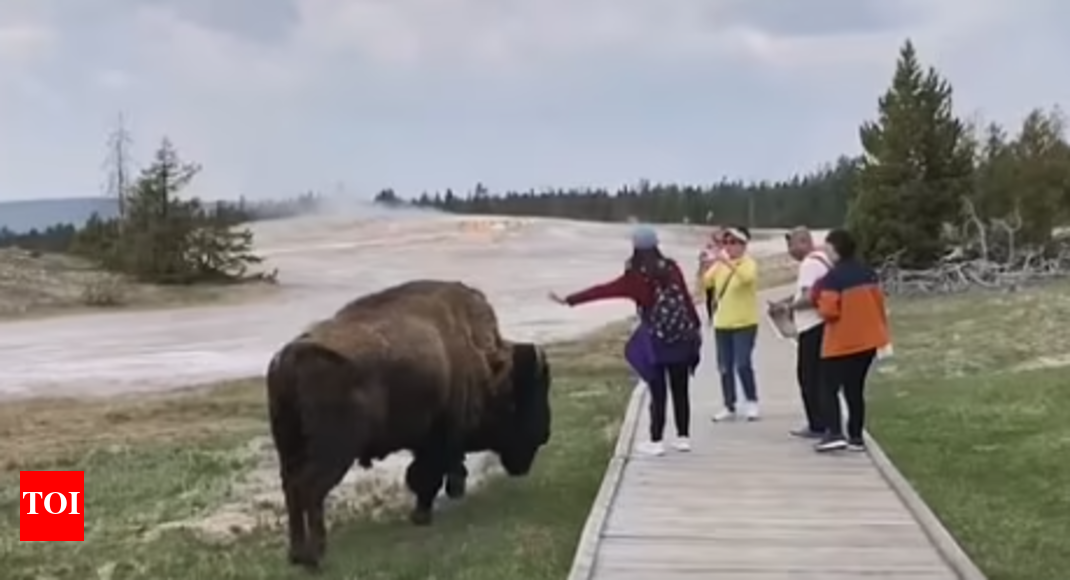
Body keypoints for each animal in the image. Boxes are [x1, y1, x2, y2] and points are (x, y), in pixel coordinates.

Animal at [266, 280, 552, 569]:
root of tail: (289, 357)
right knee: (310, 489)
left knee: (291, 488)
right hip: (334, 450)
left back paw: (297, 554)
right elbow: (426, 476)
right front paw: (421, 516)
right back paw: (315, 555)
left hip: (289, 447)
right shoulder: (438, 439)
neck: (479, 356)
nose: (544, 434)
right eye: (527, 396)